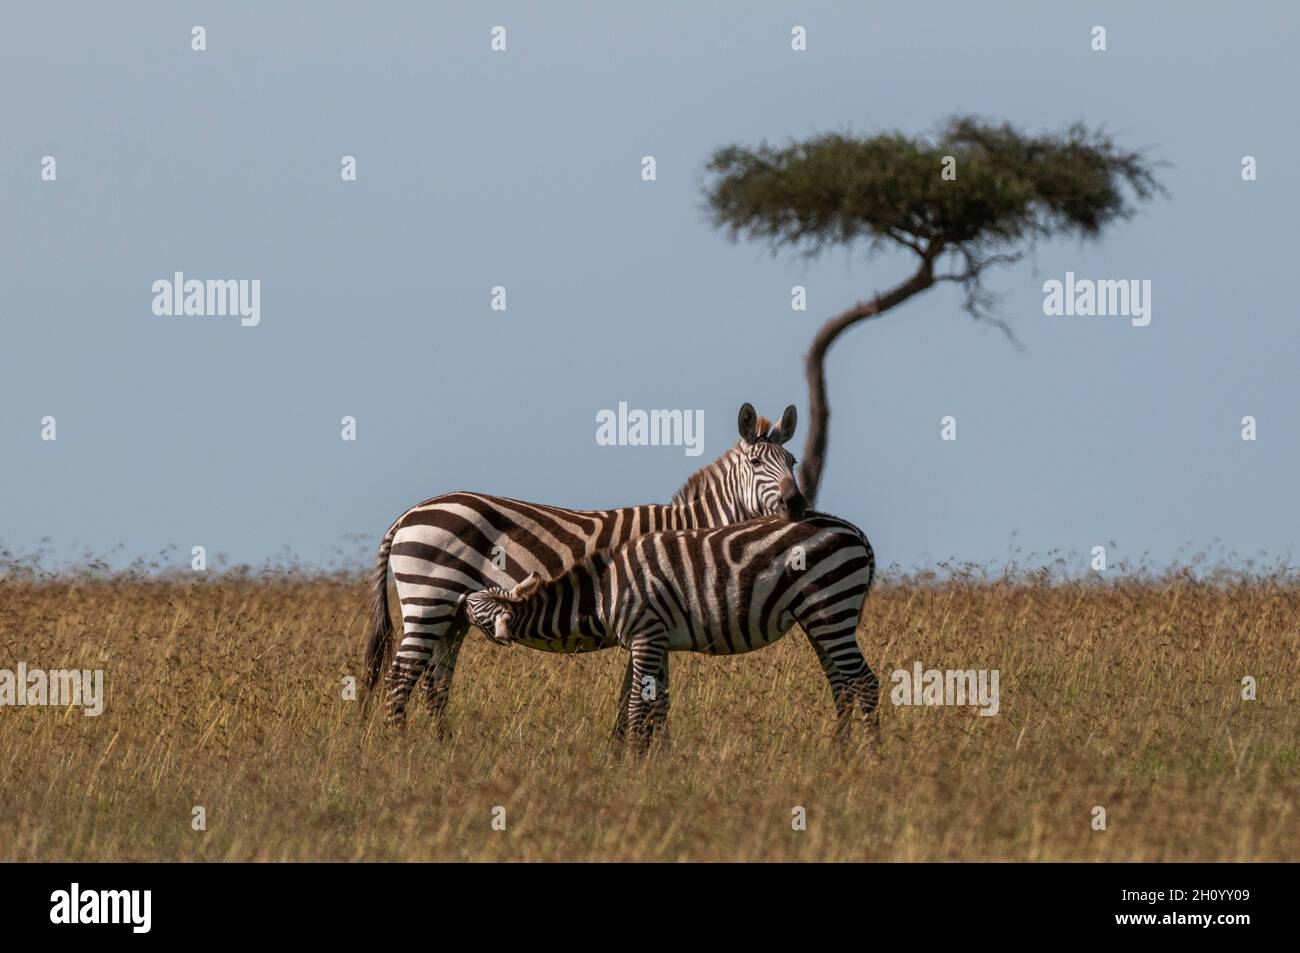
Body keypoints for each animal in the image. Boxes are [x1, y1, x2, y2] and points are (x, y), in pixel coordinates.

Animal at [366, 402, 808, 728]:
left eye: (793, 461)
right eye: (756, 463)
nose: (797, 504)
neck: (691, 530)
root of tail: (409, 514)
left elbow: (653, 699)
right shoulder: (650, 616)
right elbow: (647, 700)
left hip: (454, 616)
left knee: (436, 683)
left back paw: (439, 749)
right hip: (429, 600)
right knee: (401, 677)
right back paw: (399, 750)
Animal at [458, 513, 878, 745]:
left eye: (477, 608)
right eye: (479, 597)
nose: (460, 596)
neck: (602, 592)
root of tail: (855, 532)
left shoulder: (645, 635)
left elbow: (636, 707)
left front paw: (630, 766)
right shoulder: (657, 639)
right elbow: (656, 706)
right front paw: (652, 763)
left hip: (831, 604)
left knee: (865, 682)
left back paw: (871, 758)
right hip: (818, 616)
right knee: (842, 685)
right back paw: (838, 755)